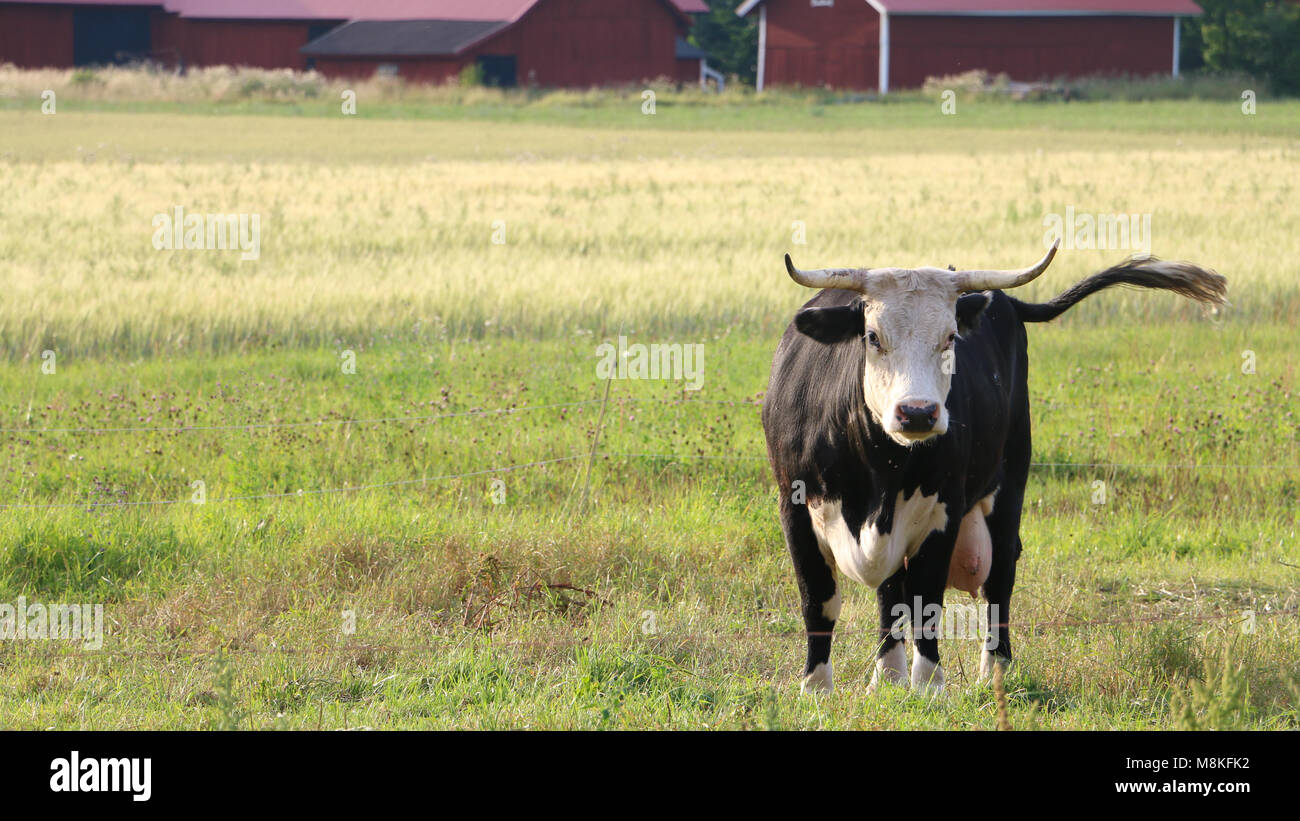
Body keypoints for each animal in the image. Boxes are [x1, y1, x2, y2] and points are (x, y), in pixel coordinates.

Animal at [761, 240, 1225, 695]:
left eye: (949, 338)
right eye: (873, 337)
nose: (918, 413)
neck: (881, 469)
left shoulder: (944, 510)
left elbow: (926, 599)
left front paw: (929, 686)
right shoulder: (794, 505)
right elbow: (820, 600)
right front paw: (817, 688)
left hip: (1010, 484)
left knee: (999, 579)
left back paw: (994, 670)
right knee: (891, 593)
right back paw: (888, 677)